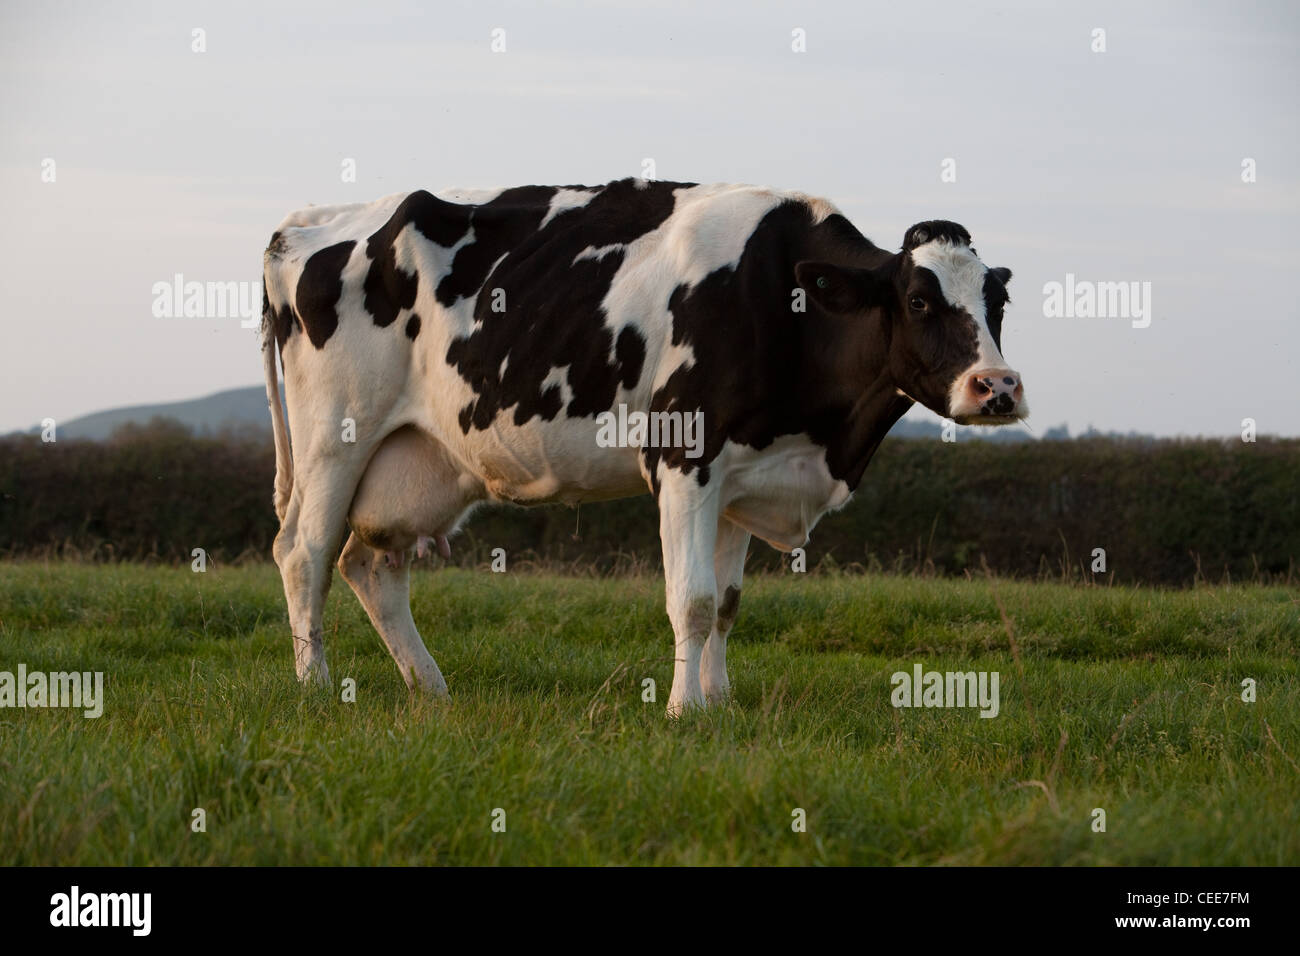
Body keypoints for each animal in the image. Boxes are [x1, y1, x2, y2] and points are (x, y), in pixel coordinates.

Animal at [260, 178, 1027, 716]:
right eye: (919, 301)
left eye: (998, 304)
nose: (998, 387)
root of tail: (309, 222)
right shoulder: (686, 458)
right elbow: (691, 599)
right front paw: (685, 711)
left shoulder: (742, 478)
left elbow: (726, 603)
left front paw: (720, 702)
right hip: (337, 435)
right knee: (305, 553)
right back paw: (315, 688)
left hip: (417, 462)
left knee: (372, 565)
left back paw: (430, 687)